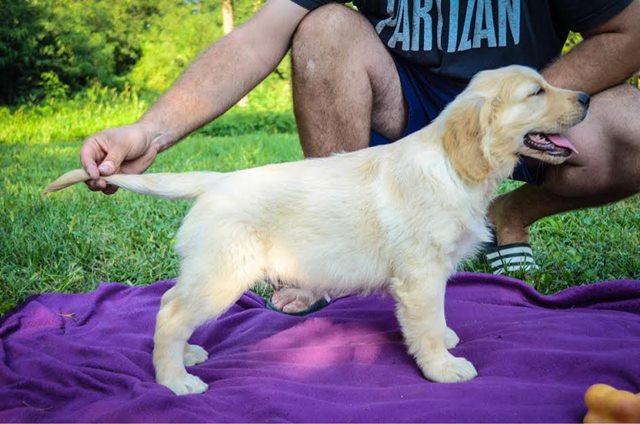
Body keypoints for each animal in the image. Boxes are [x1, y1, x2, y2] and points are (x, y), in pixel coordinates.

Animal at [45, 65, 592, 394]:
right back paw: (173, 378)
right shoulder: (420, 274)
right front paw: (442, 367)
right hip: (223, 274)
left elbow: (438, 317)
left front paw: (447, 340)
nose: (587, 96)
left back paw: (188, 355)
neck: (454, 166)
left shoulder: (431, 272)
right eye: (536, 92)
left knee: (172, 306)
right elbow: (426, 323)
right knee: (170, 311)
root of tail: (216, 181)